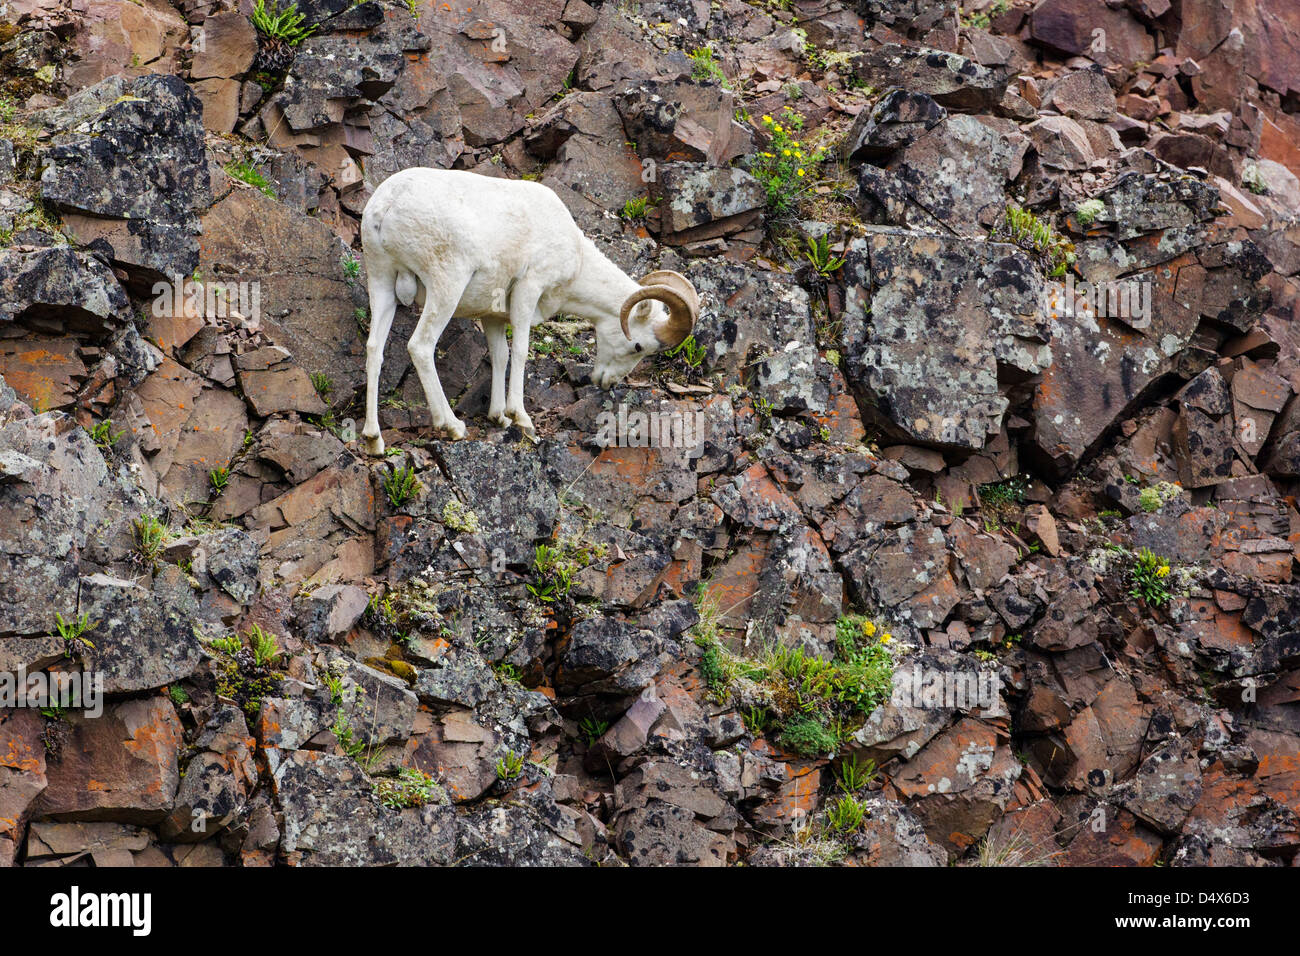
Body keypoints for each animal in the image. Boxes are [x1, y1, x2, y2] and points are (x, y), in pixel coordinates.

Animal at [357, 168, 700, 454]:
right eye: (639, 346)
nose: (607, 383)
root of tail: (387, 205)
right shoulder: (528, 289)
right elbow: (521, 351)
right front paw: (521, 418)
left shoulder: (492, 315)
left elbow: (500, 355)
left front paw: (499, 417)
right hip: (447, 284)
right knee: (421, 346)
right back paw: (452, 426)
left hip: (382, 281)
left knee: (374, 349)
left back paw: (374, 440)